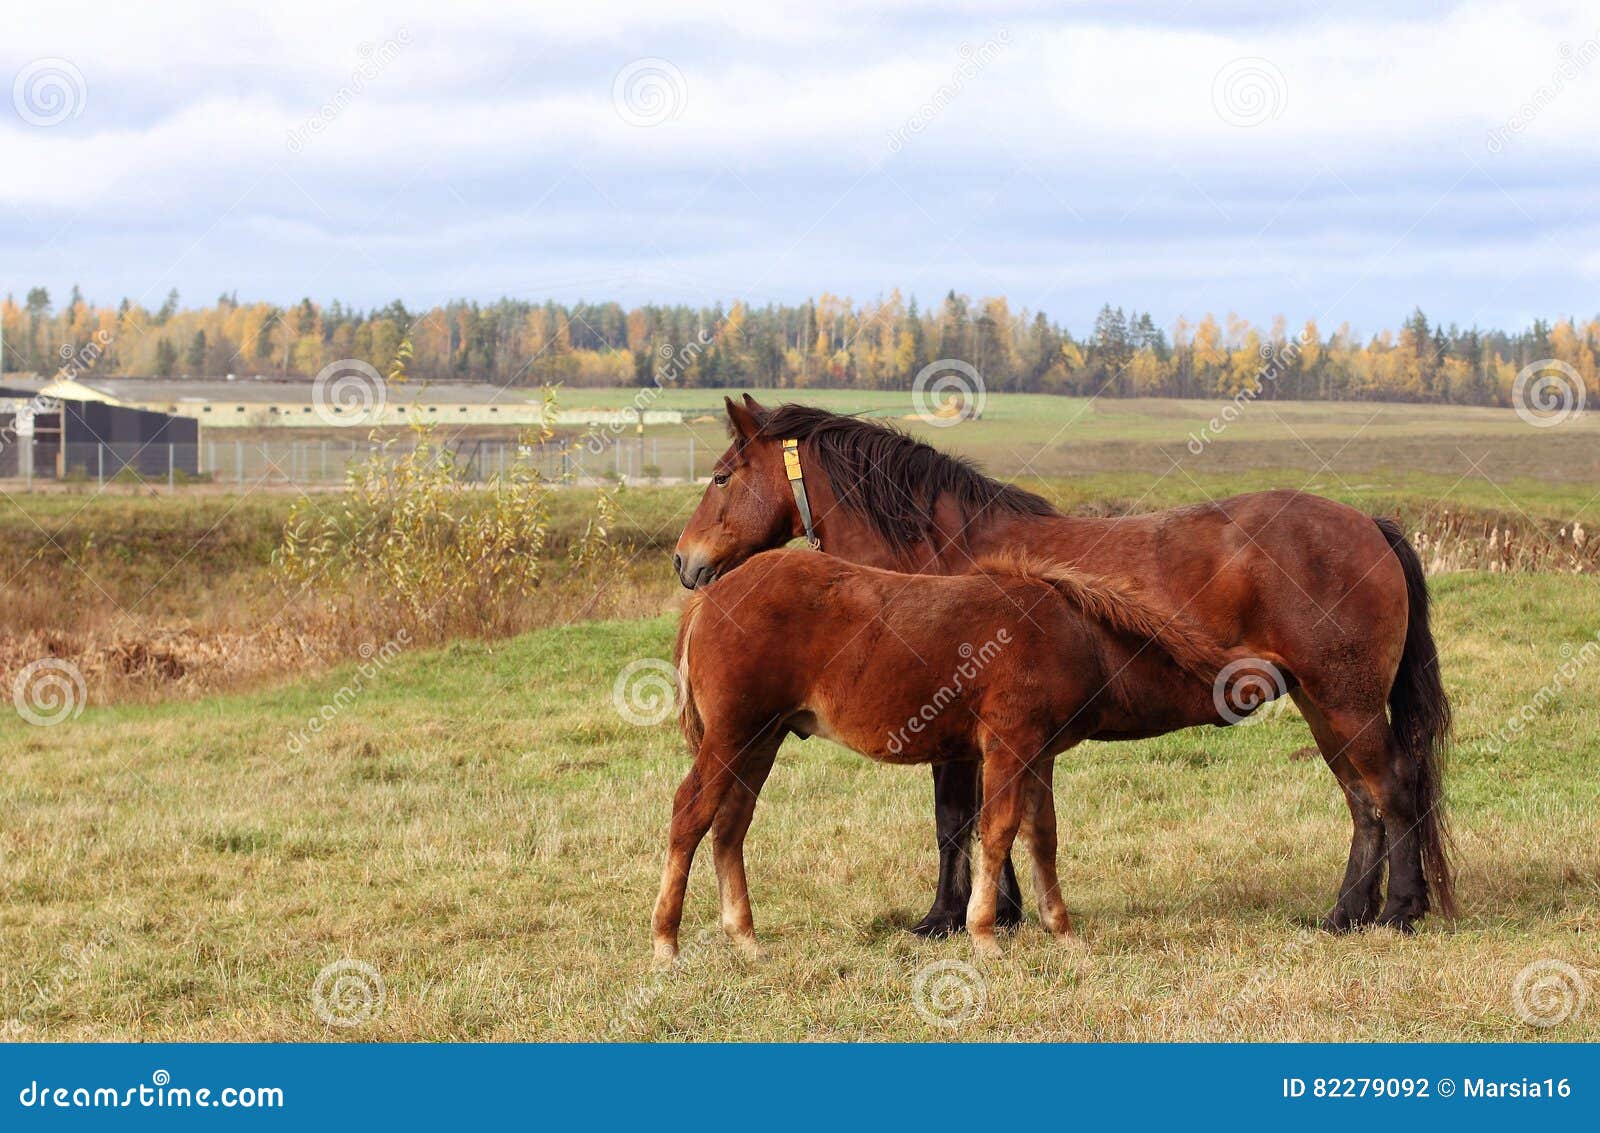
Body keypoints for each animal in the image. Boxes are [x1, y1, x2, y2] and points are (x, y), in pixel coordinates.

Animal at [652, 548, 1287, 961]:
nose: (1276, 688)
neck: (1078, 635)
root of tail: (710, 597)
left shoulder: (1039, 755)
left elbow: (1042, 836)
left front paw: (1062, 931)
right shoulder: (1008, 746)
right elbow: (998, 830)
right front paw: (985, 935)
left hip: (762, 740)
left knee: (730, 827)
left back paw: (746, 941)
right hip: (733, 736)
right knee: (690, 813)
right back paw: (666, 943)